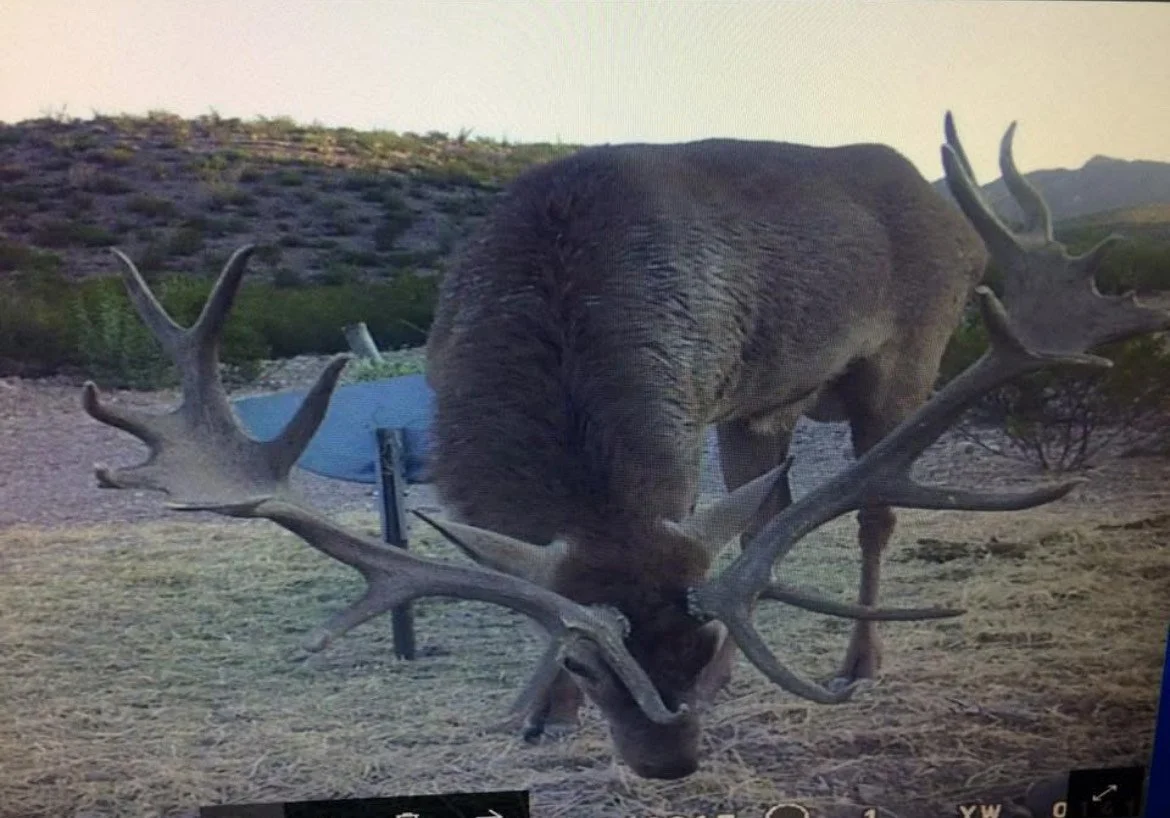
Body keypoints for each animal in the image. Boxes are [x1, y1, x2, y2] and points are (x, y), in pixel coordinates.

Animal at [80, 113, 1170, 780]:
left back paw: (862, 658)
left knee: (875, 507)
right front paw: (546, 712)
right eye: (590, 662)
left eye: (699, 641)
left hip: (914, 348)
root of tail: (962, 220)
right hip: (762, 402)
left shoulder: (682, 426)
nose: (671, 760)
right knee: (770, 509)